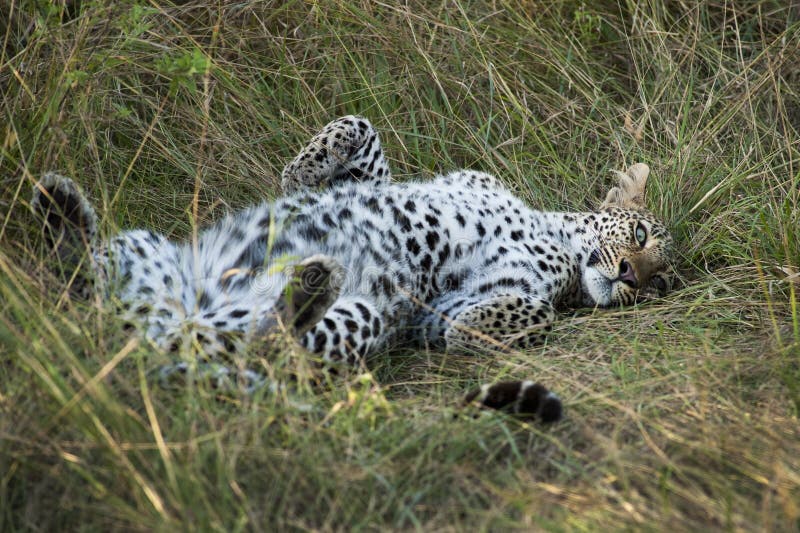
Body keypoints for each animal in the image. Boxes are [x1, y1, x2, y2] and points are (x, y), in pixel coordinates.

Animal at [31, 115, 675, 423]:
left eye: (659, 285)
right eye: (641, 236)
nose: (630, 277)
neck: (549, 229)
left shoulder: (458, 300)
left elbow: (526, 311)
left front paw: (472, 328)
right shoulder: (441, 181)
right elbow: (362, 131)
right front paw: (305, 169)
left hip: (355, 314)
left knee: (265, 346)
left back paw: (309, 283)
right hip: (140, 250)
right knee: (80, 283)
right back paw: (61, 211)